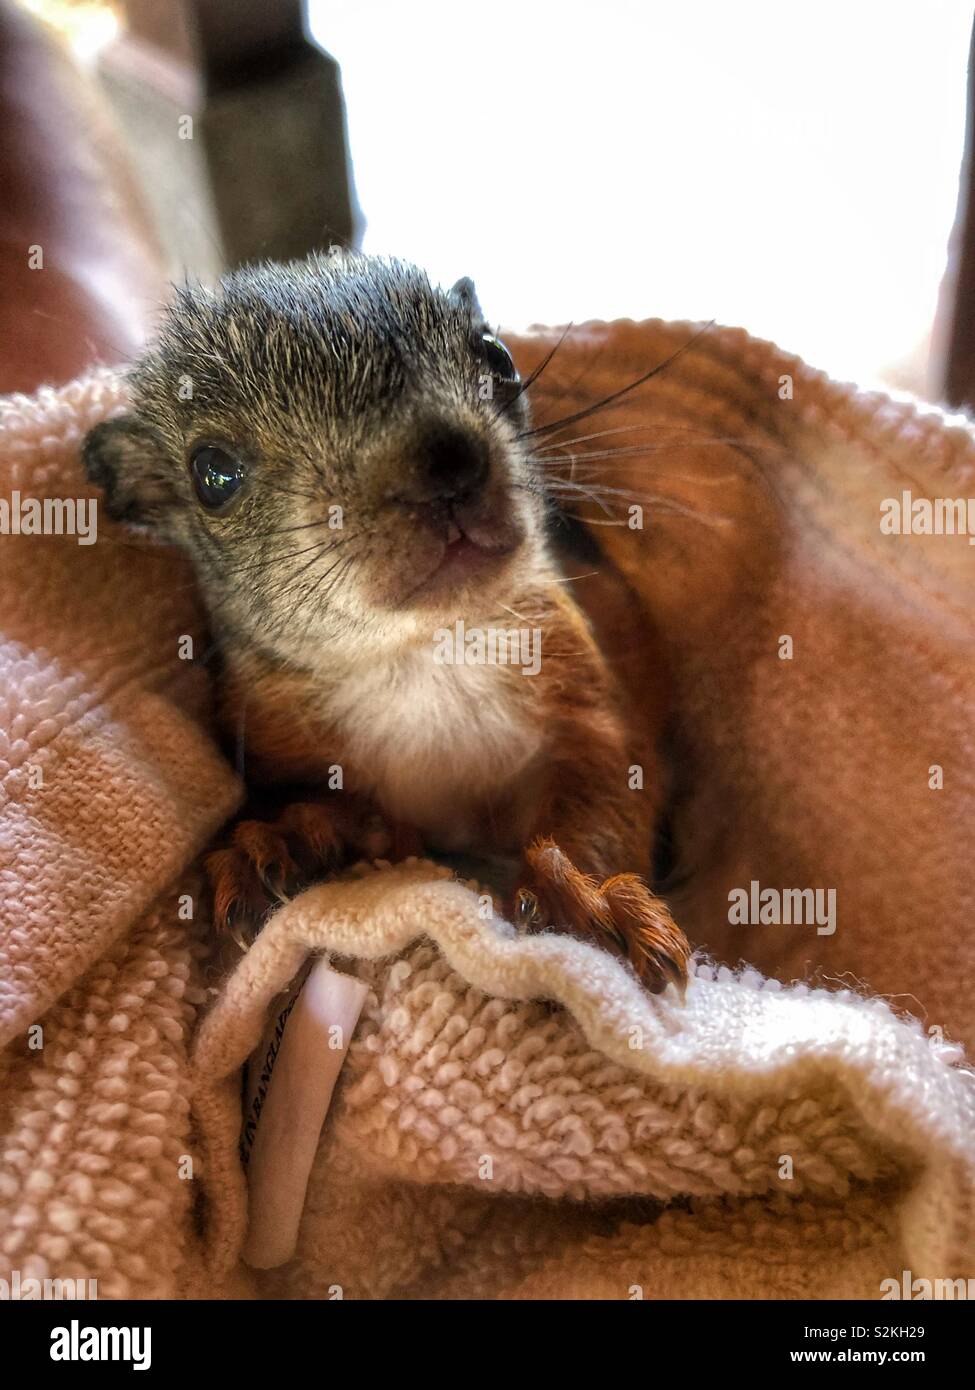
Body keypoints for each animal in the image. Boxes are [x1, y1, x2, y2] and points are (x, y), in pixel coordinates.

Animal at [83, 250, 691, 996]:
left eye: (497, 358)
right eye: (213, 474)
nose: (447, 462)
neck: (421, 651)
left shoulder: (590, 715)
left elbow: (601, 806)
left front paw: (588, 896)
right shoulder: (283, 747)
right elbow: (345, 816)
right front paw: (278, 841)